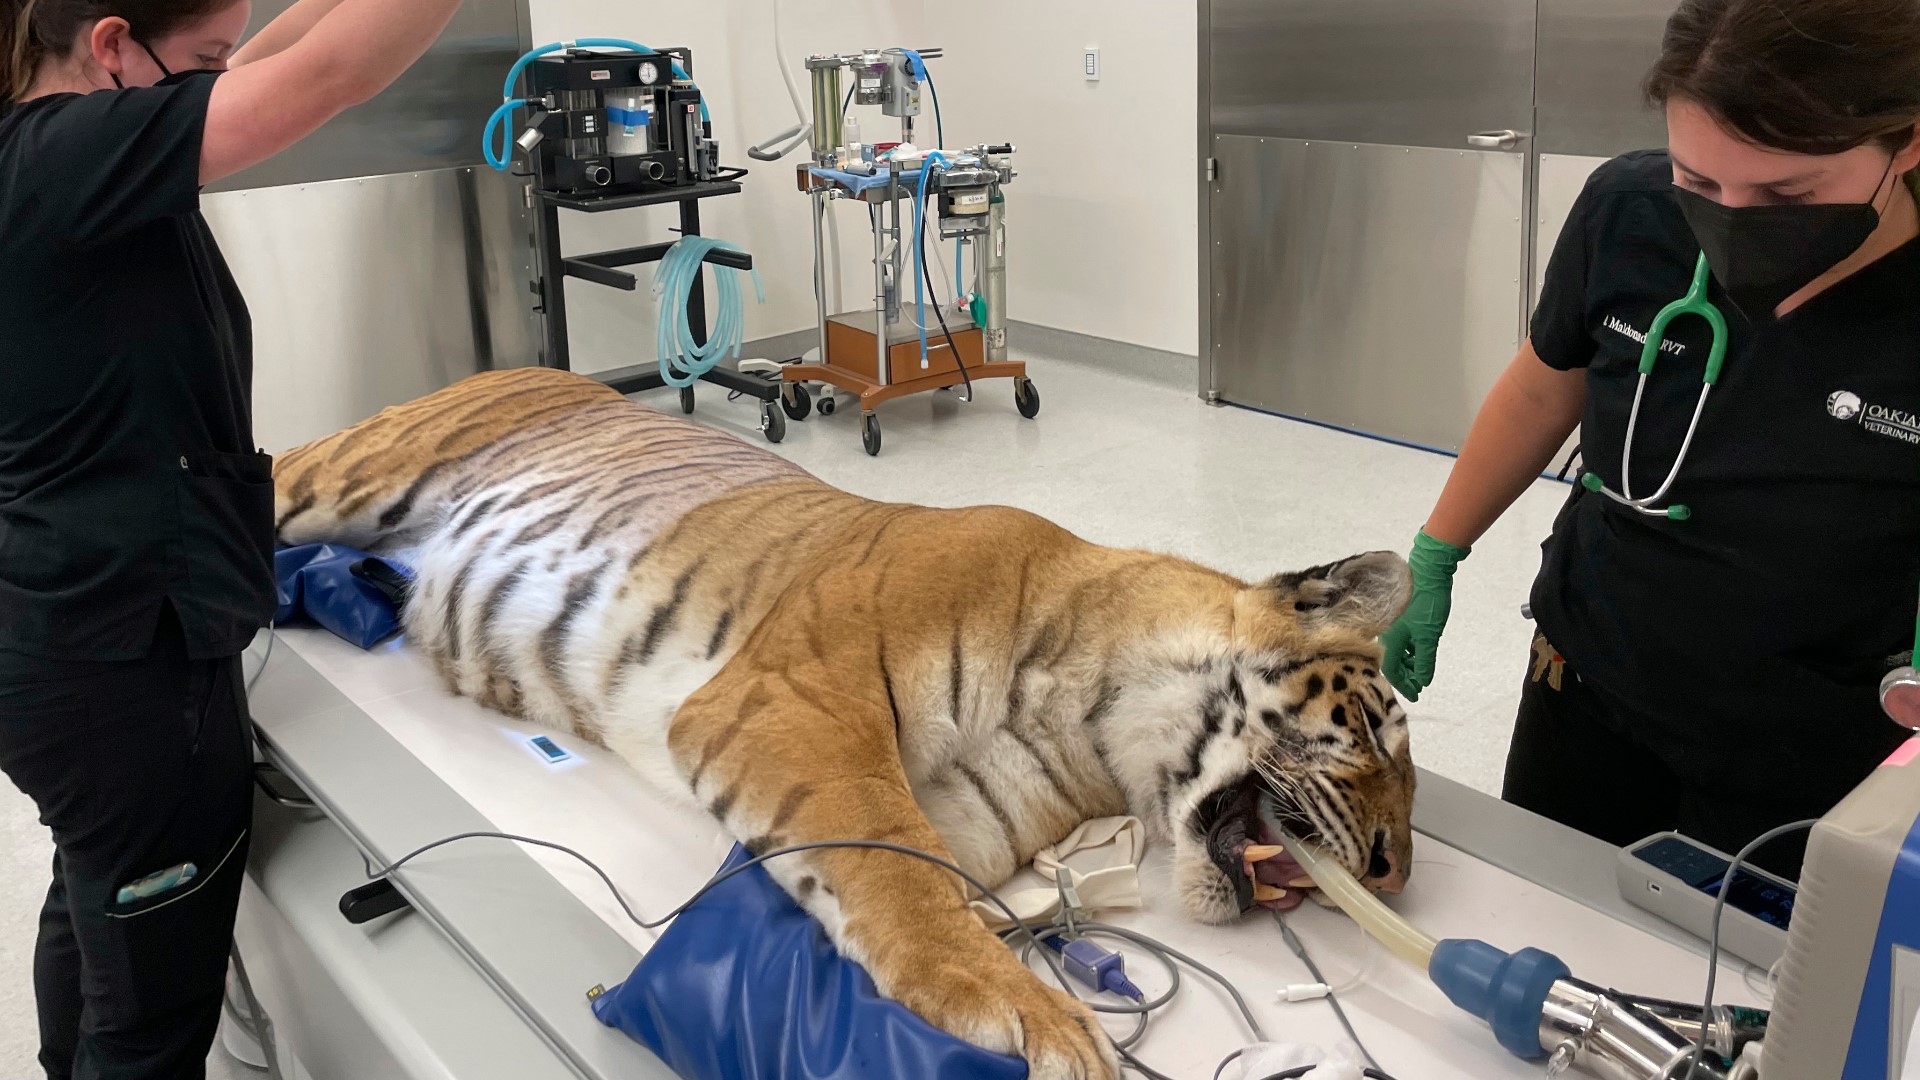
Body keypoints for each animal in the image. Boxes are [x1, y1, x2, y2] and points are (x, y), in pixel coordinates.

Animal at [272, 367, 1419, 1080]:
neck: (1091, 726)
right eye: (1372, 733)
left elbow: (900, 881)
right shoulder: (801, 701)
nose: (1392, 873)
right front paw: (1035, 1015)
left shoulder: (964, 811)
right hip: (339, 476)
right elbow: (899, 870)